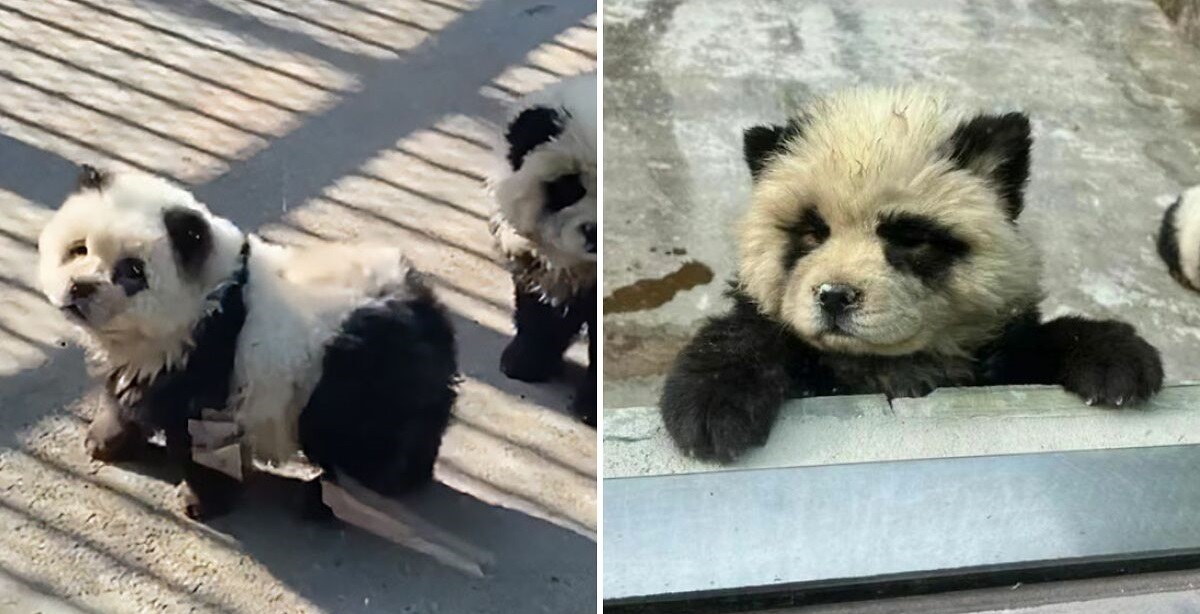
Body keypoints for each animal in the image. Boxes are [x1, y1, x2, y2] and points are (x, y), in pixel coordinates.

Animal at [38, 167, 458, 518]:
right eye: (78, 249)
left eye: (132, 271)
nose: (80, 288)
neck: (212, 295)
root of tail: (430, 312)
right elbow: (129, 391)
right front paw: (105, 440)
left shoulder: (210, 356)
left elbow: (200, 435)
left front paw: (202, 500)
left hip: (355, 375)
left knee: (357, 442)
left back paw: (325, 501)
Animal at [660, 87, 1165, 462]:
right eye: (811, 232)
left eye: (908, 237)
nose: (834, 296)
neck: (883, 362)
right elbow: (748, 331)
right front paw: (710, 406)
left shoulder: (992, 354)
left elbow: (1037, 344)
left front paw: (1117, 359)